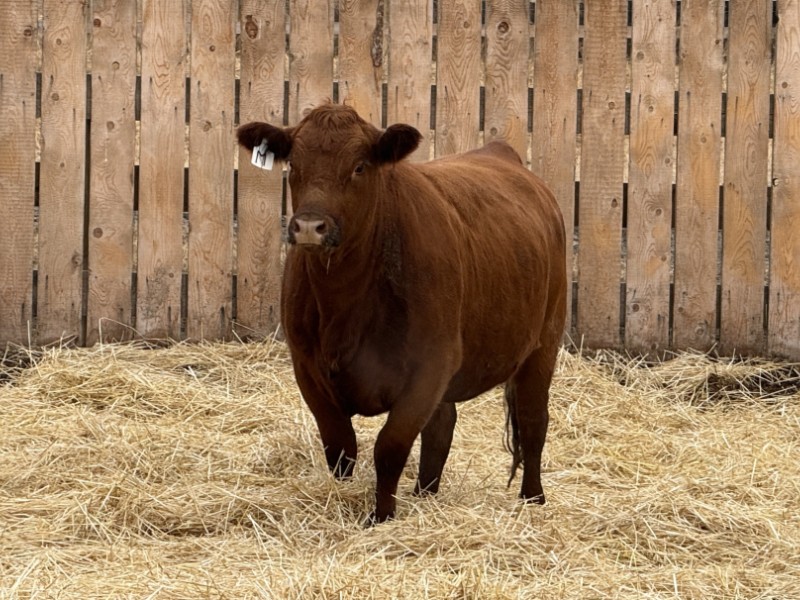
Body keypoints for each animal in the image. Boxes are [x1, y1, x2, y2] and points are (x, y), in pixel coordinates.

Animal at [237, 104, 567, 524]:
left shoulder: (431, 365)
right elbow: (340, 446)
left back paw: (533, 499)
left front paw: (382, 516)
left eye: (360, 166)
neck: (344, 304)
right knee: (443, 425)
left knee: (533, 419)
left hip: (543, 342)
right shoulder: (307, 367)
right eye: (293, 163)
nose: (310, 227)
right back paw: (426, 493)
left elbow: (390, 446)